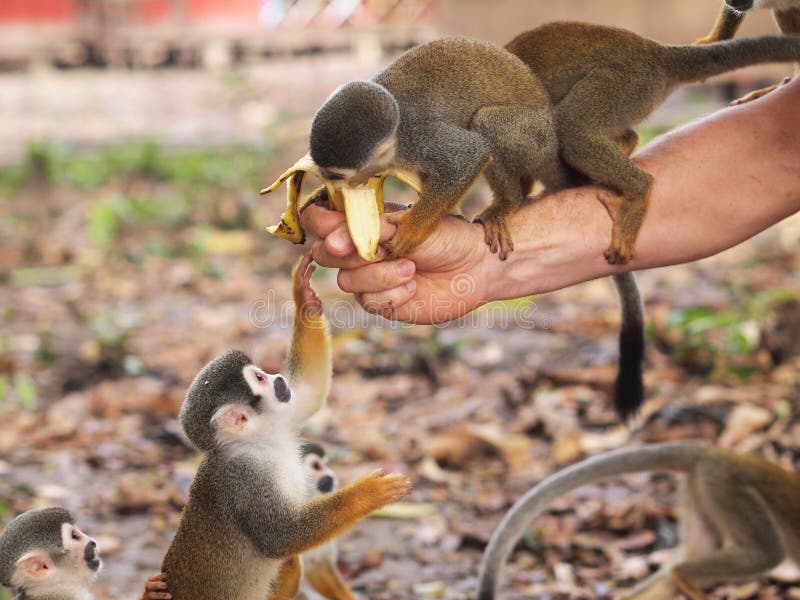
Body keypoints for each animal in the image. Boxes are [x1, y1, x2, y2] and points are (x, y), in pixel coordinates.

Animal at [158, 254, 412, 600]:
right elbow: (282, 537)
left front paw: (304, 295)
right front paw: (368, 493)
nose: (278, 378)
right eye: (260, 378)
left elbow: (310, 388)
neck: (262, 440)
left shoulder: (283, 416)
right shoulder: (244, 480)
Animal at [308, 37, 569, 262]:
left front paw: (413, 227)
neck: (395, 137)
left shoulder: (416, 138)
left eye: (337, 174)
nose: (329, 180)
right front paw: (321, 194)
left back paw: (508, 201)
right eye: (325, 172)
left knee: (485, 122)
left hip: (537, 139)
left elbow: (471, 155)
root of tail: (554, 143)